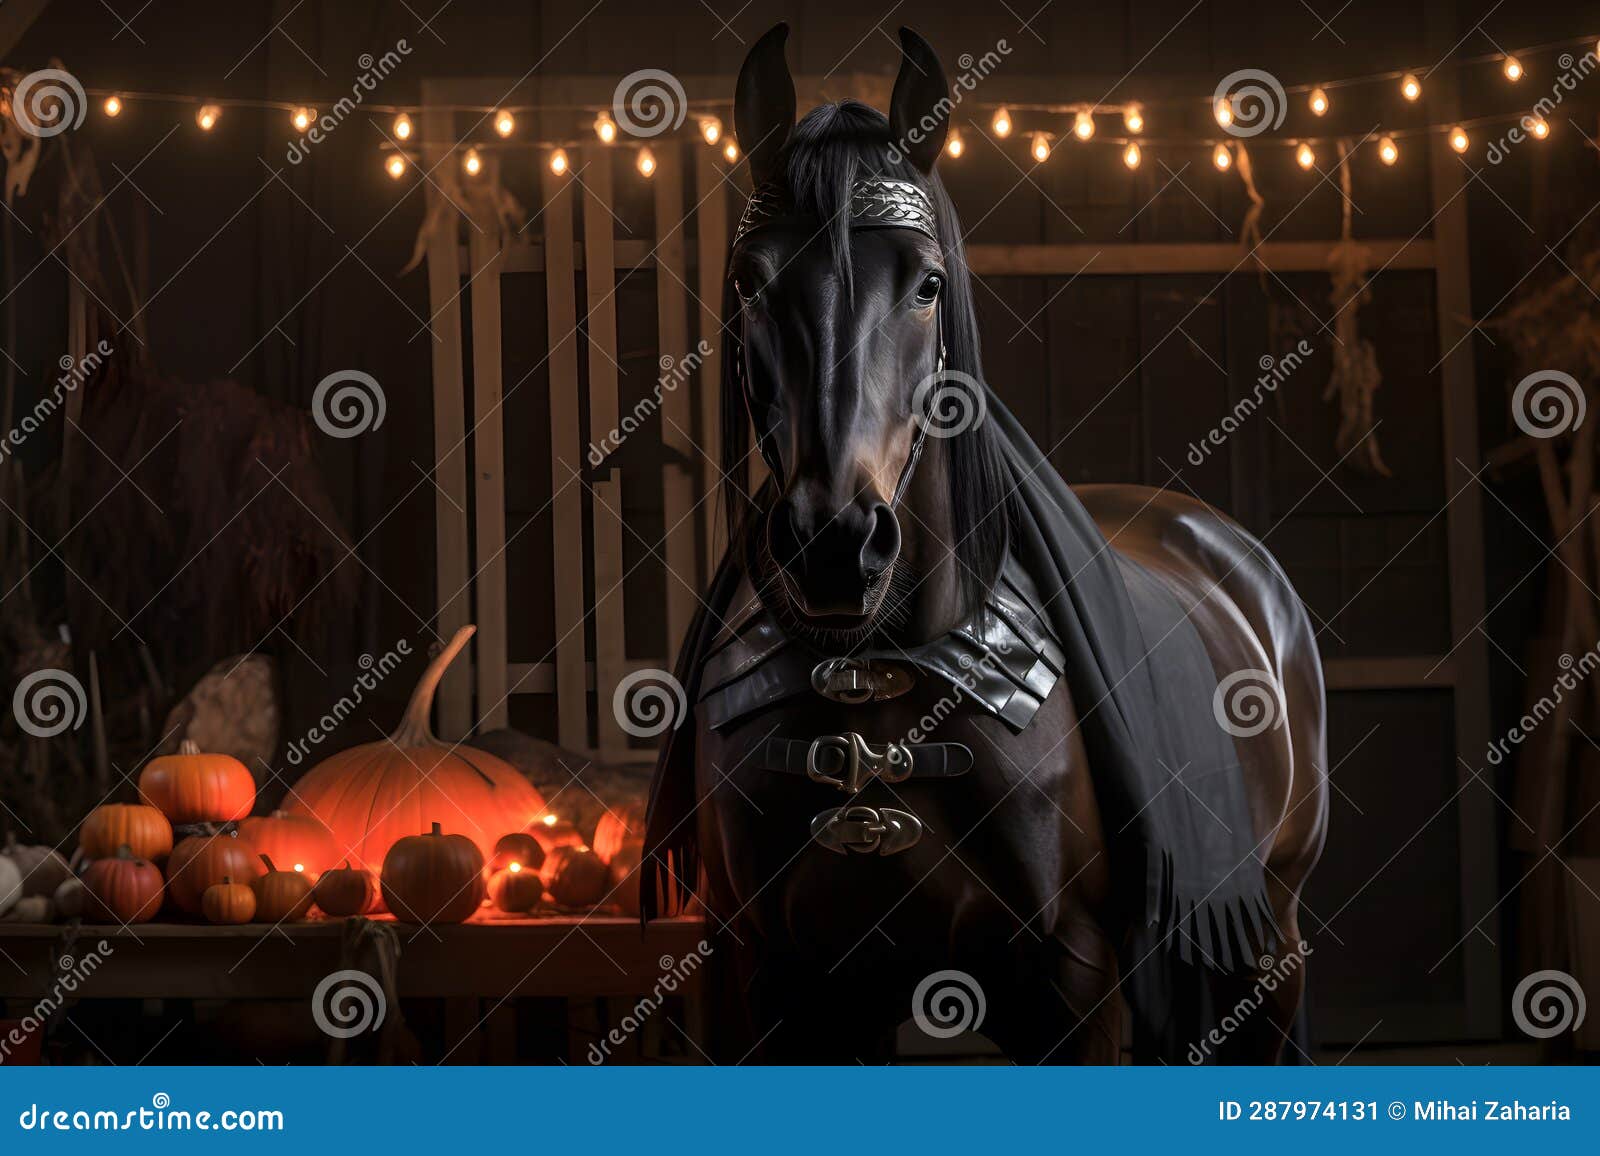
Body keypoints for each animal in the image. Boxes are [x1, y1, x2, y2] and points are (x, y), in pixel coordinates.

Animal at [642, 24, 1329, 1064]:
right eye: (750, 284)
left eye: (926, 284)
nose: (834, 545)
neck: (878, 669)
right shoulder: (766, 985)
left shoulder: (1078, 985)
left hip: (1270, 939)